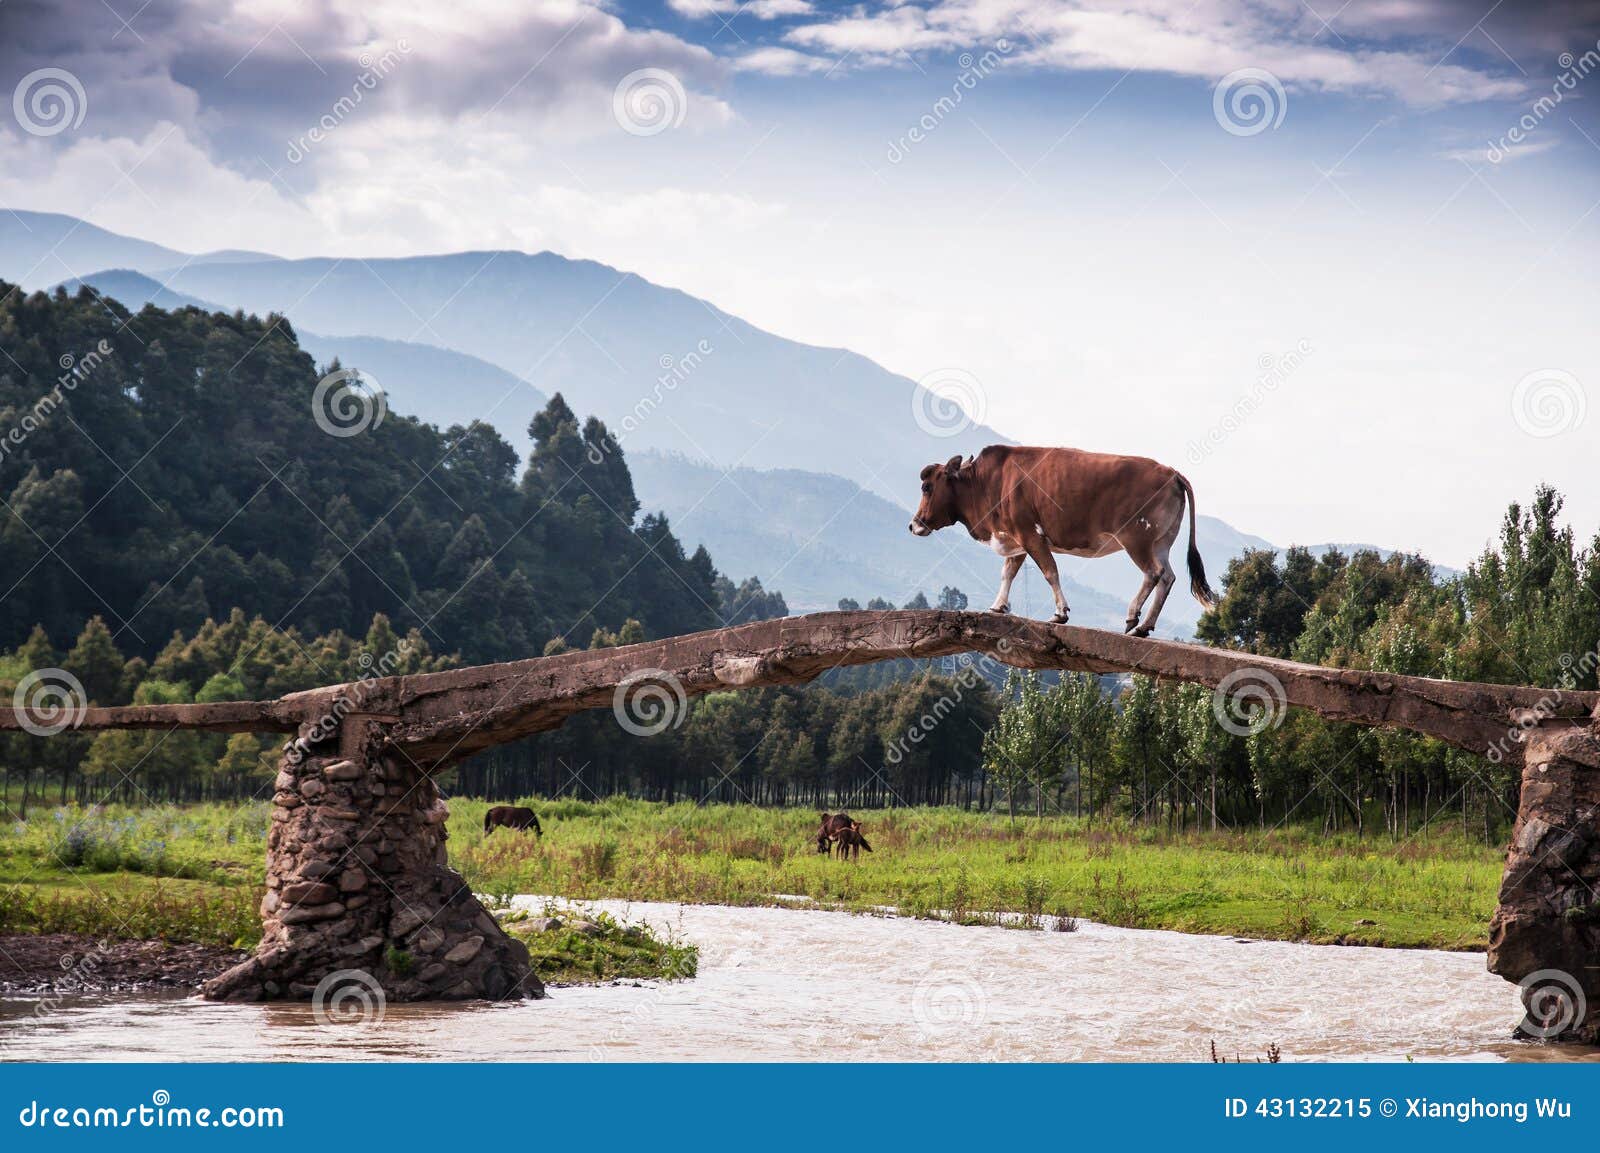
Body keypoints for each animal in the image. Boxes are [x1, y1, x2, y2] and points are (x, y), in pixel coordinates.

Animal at [908, 445, 1216, 637]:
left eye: (927, 486)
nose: (914, 524)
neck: (987, 483)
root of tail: (1171, 471)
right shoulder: (1015, 538)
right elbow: (1008, 573)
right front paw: (997, 606)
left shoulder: (1030, 535)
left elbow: (1050, 572)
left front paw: (1060, 613)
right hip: (1161, 542)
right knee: (1168, 577)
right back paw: (1144, 627)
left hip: (1137, 539)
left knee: (1154, 573)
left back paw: (1133, 617)